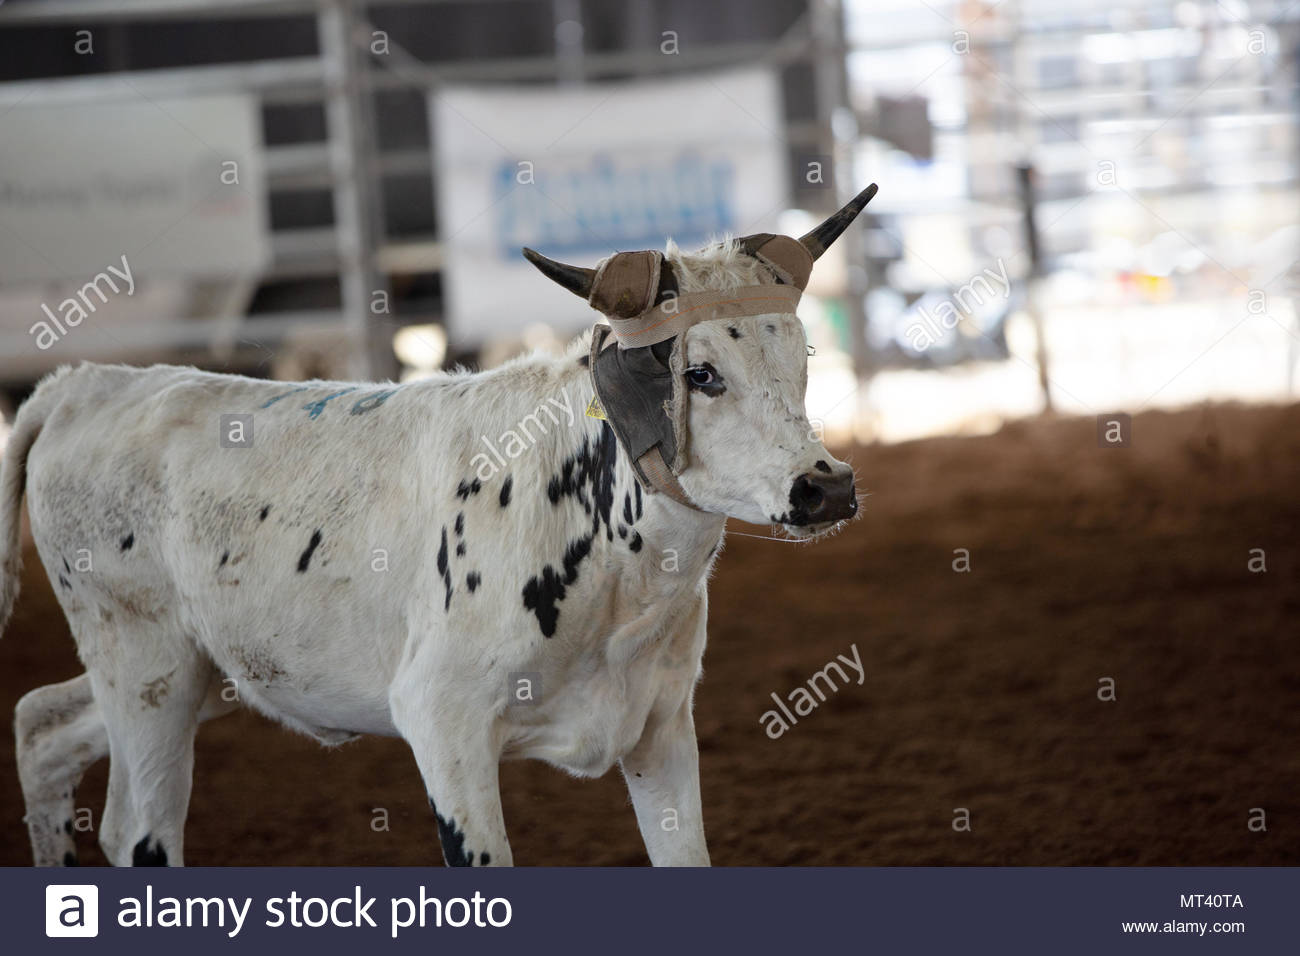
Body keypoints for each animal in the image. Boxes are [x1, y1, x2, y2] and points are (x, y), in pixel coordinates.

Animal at [0, 184, 875, 867]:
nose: (826, 487)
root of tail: (85, 385)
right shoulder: (443, 725)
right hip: (144, 664)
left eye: (802, 360)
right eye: (700, 373)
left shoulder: (659, 726)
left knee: (41, 724)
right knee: (136, 830)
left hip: (200, 671)